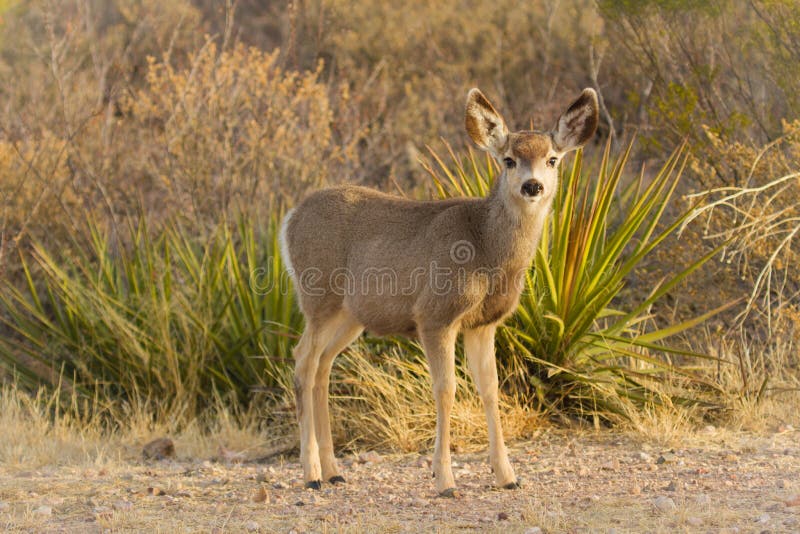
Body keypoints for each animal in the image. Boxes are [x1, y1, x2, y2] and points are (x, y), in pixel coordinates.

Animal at [279, 87, 599, 496]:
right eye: (509, 160)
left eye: (553, 159)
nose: (533, 186)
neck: (484, 246)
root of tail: (289, 218)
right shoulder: (435, 315)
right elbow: (446, 389)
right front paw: (445, 479)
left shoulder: (483, 323)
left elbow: (490, 389)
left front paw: (507, 476)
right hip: (318, 296)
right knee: (303, 360)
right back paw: (312, 473)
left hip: (351, 316)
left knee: (322, 365)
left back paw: (334, 471)